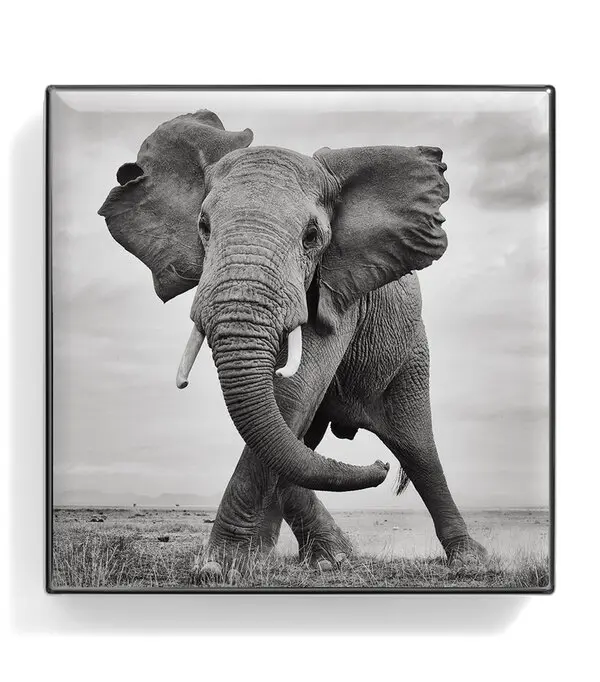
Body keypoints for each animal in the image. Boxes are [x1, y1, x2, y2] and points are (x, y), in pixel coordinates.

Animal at [98, 110, 487, 580]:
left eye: (311, 236)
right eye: (203, 227)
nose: (378, 467)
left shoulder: (337, 289)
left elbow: (292, 394)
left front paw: (219, 566)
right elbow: (284, 422)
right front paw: (253, 562)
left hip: (410, 351)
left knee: (417, 448)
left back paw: (470, 560)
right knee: (305, 443)